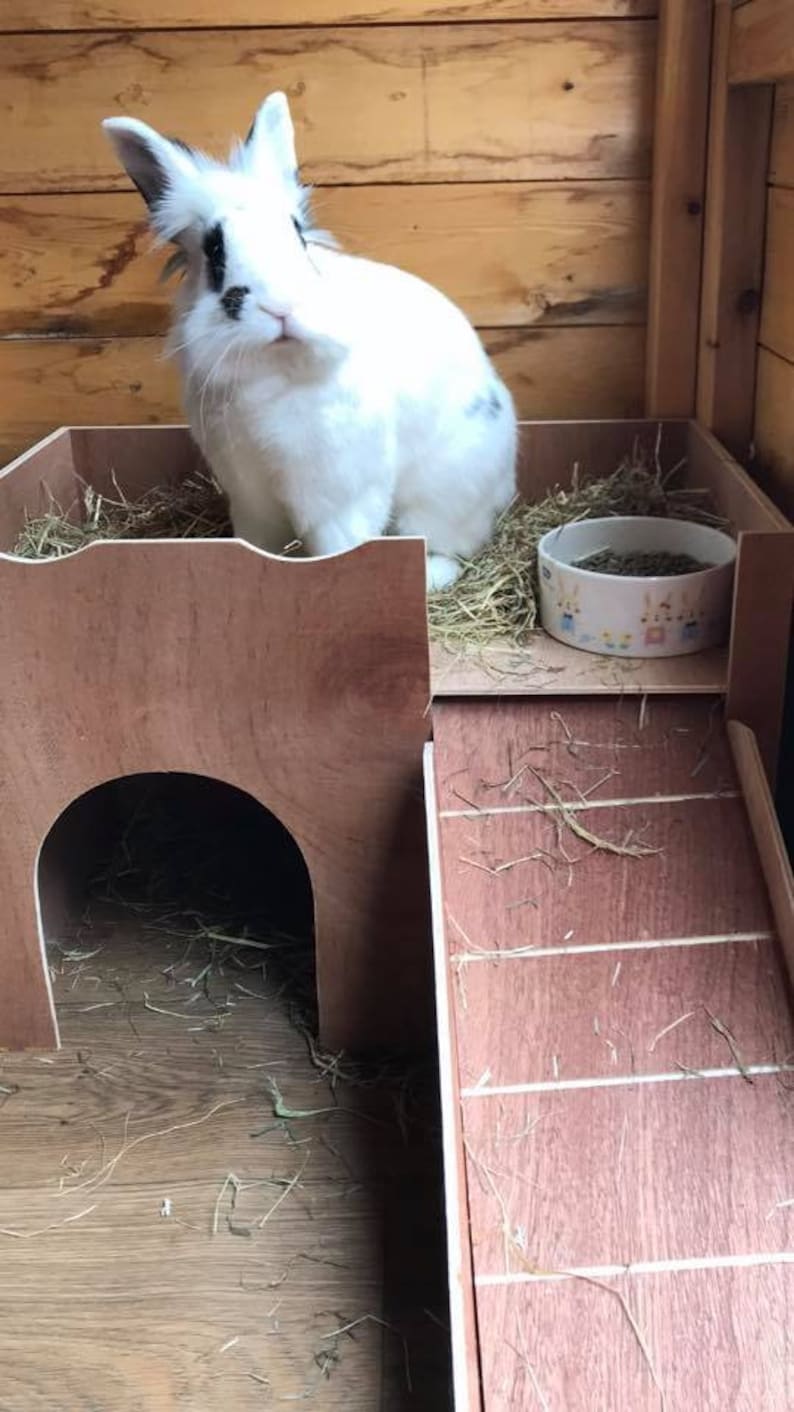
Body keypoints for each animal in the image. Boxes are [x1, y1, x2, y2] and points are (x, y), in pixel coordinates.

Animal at [102, 93, 517, 592]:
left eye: (297, 234)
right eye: (215, 250)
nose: (281, 307)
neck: (275, 370)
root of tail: (506, 483)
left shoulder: (339, 494)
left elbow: (341, 545)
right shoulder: (250, 496)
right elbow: (259, 544)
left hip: (443, 496)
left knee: (449, 544)